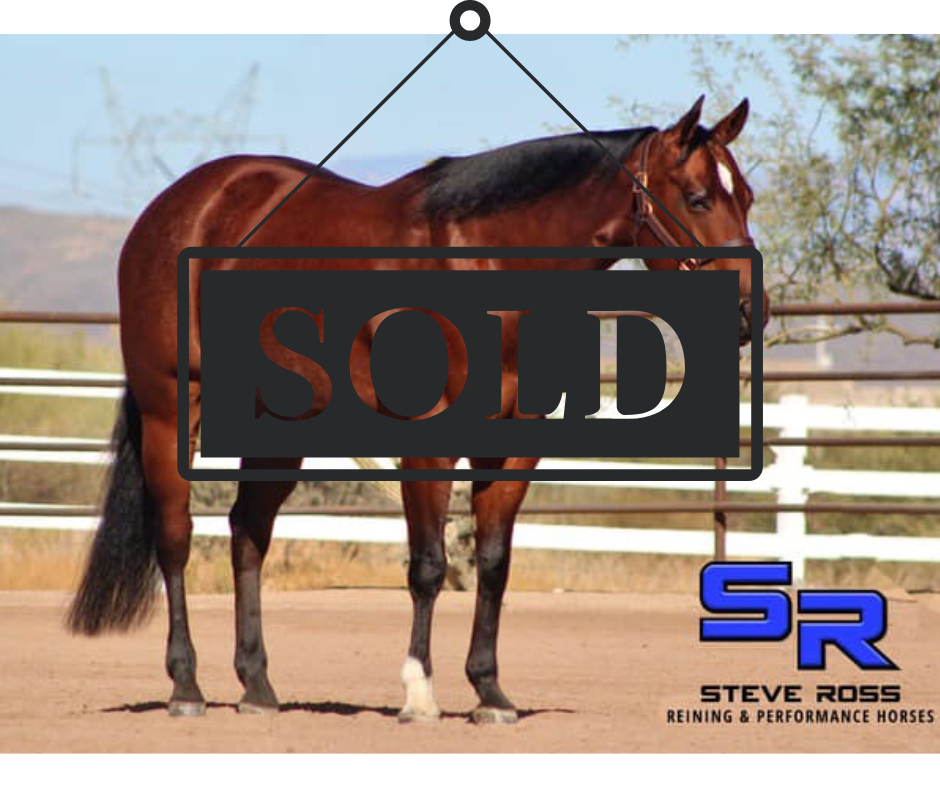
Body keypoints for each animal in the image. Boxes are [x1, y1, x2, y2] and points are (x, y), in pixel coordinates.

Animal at [68, 95, 768, 724]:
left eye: (748, 197)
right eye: (698, 198)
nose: (748, 312)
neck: (486, 265)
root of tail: (181, 204)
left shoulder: (514, 446)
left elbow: (493, 563)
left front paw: (490, 694)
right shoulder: (427, 442)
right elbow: (428, 566)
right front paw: (419, 694)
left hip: (278, 425)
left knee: (248, 534)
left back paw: (258, 687)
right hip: (171, 406)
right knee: (176, 537)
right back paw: (186, 686)